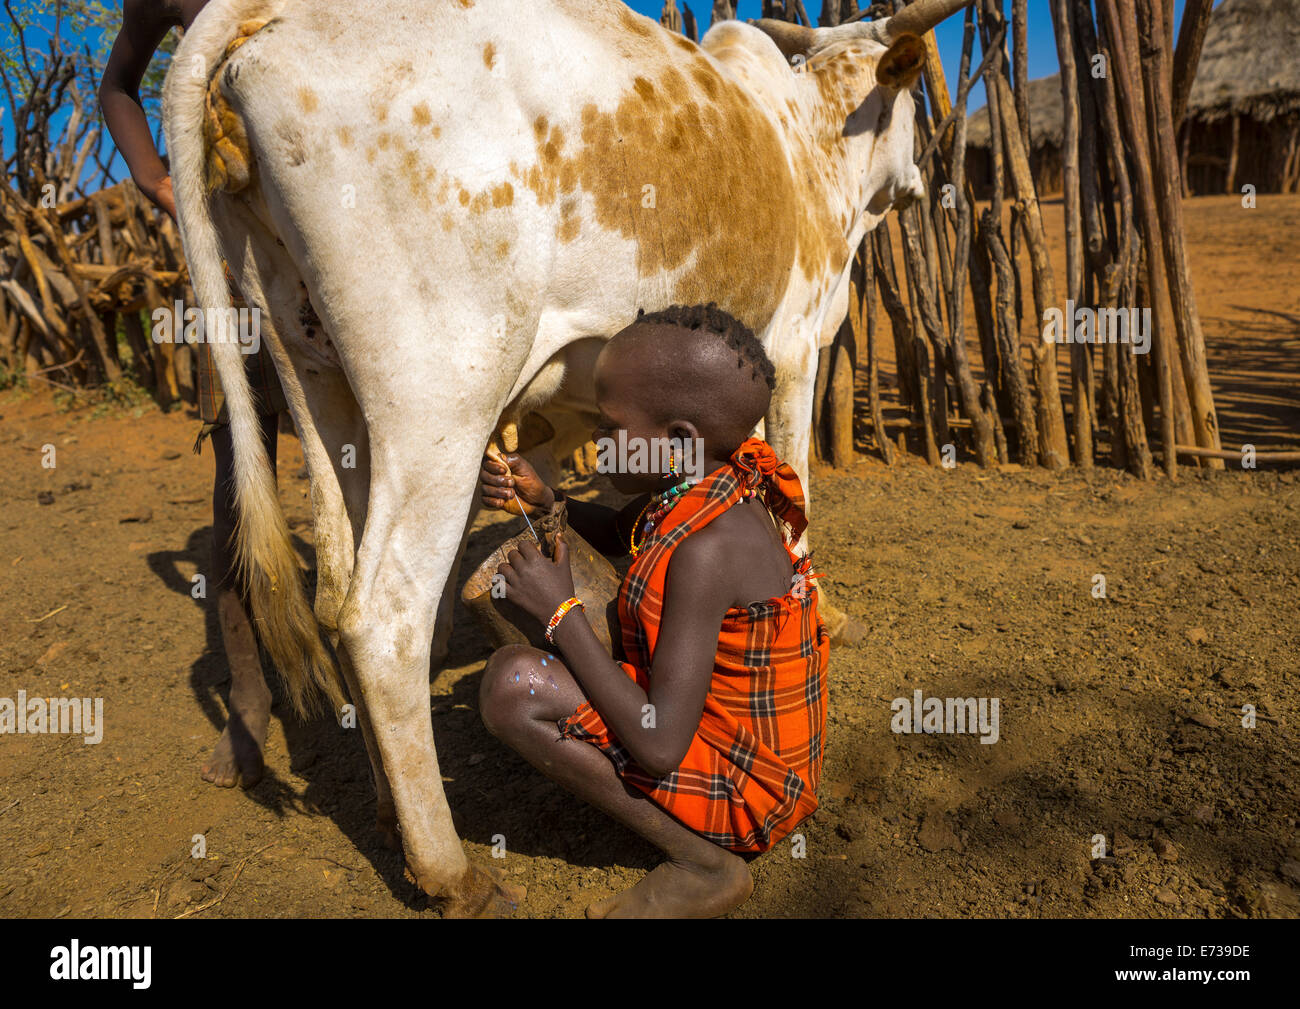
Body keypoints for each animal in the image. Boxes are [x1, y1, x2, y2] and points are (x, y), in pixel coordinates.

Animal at [163, 0, 970, 912]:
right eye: (912, 108)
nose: (916, 180)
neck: (804, 140)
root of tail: (264, 15)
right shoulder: (796, 347)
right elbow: (794, 495)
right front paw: (824, 612)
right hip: (439, 397)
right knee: (384, 619)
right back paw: (451, 871)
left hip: (313, 371)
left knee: (336, 594)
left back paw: (389, 815)